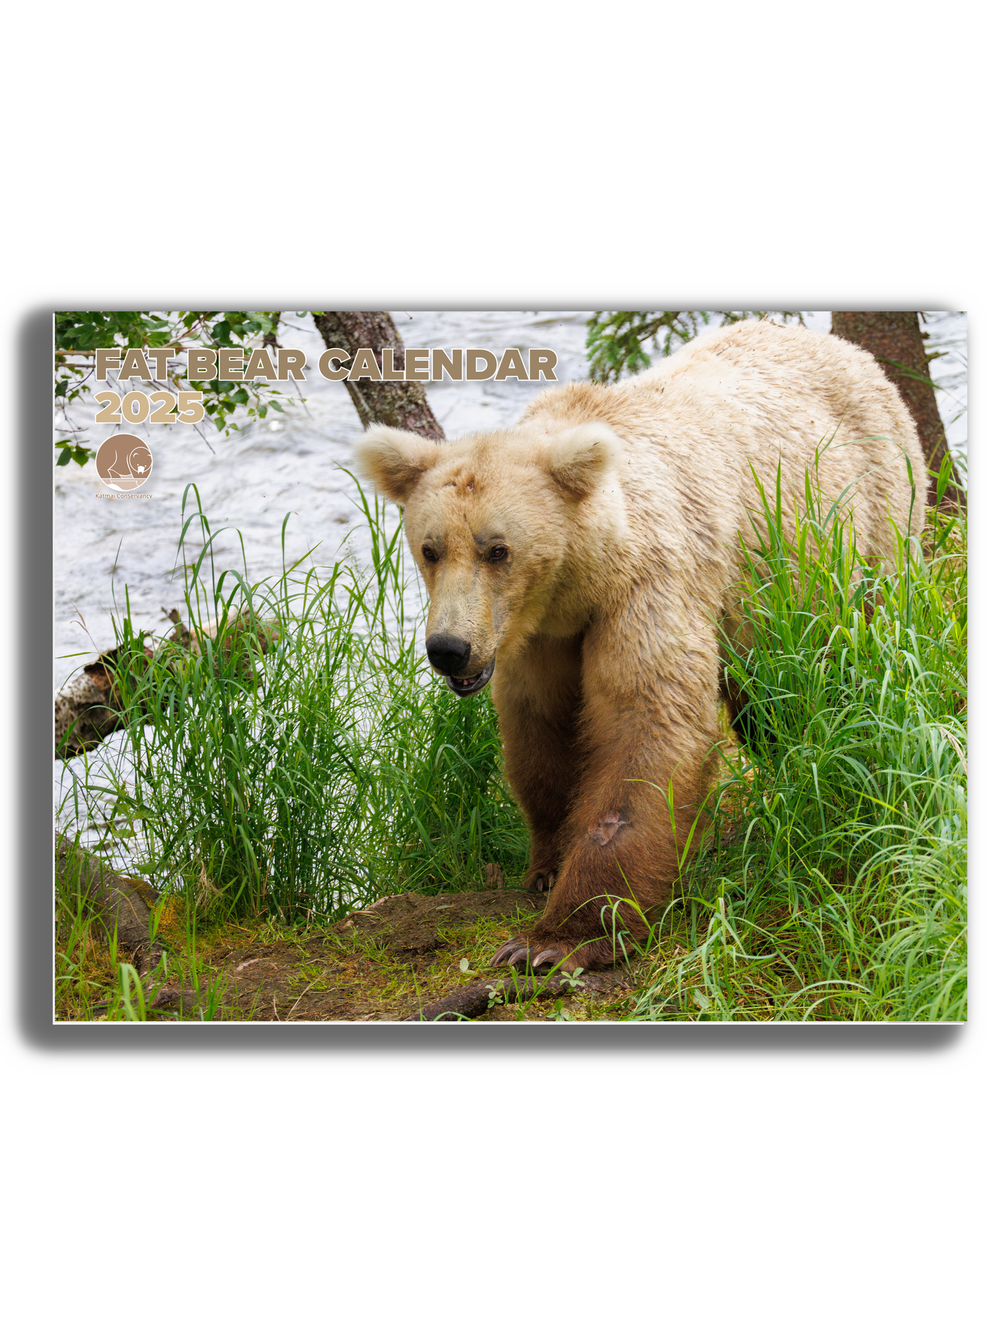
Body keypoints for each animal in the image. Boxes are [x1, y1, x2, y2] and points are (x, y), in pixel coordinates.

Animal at [354, 319, 927, 972]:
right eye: (430, 548)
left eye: (497, 549)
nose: (449, 648)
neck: (574, 586)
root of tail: (848, 351)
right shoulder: (536, 639)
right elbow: (540, 732)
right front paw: (546, 865)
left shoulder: (645, 587)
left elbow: (646, 726)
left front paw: (557, 938)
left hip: (859, 532)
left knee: (834, 670)